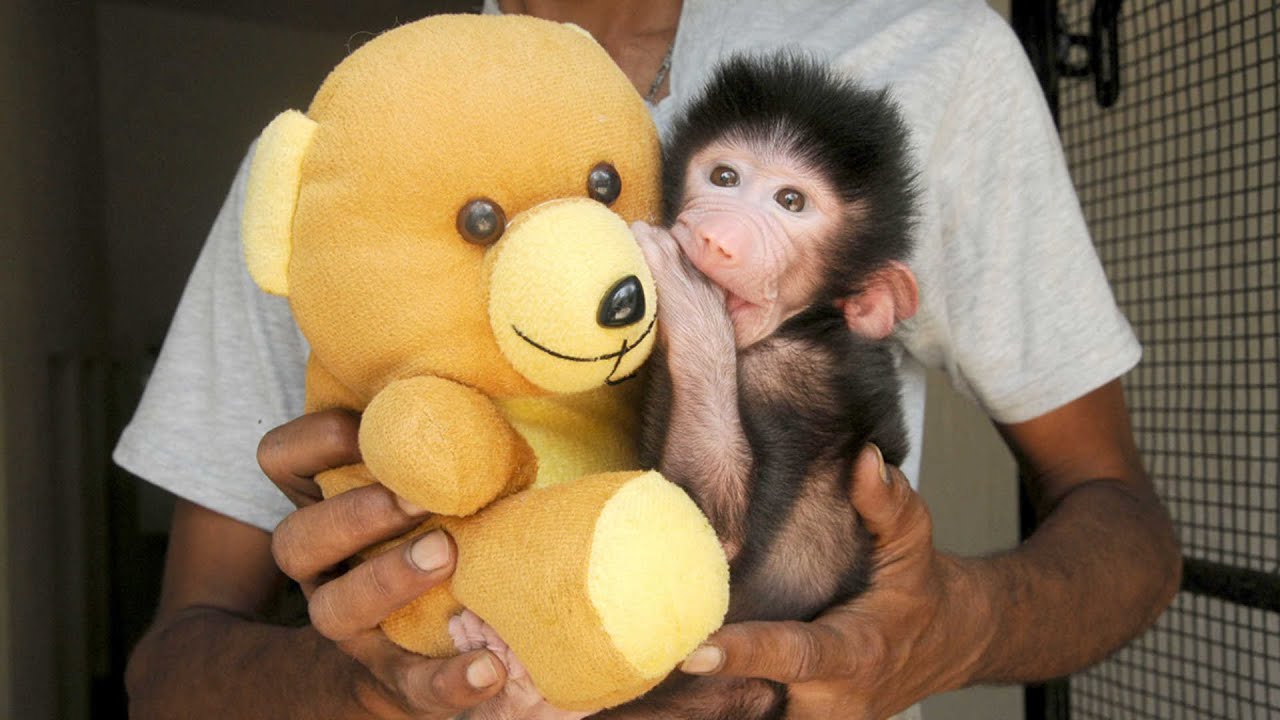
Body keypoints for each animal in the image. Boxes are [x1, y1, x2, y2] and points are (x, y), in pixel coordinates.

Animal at [602, 54, 921, 720]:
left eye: (790, 201)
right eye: (724, 176)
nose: (716, 237)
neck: (805, 323)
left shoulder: (791, 377)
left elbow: (710, 538)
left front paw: (687, 291)